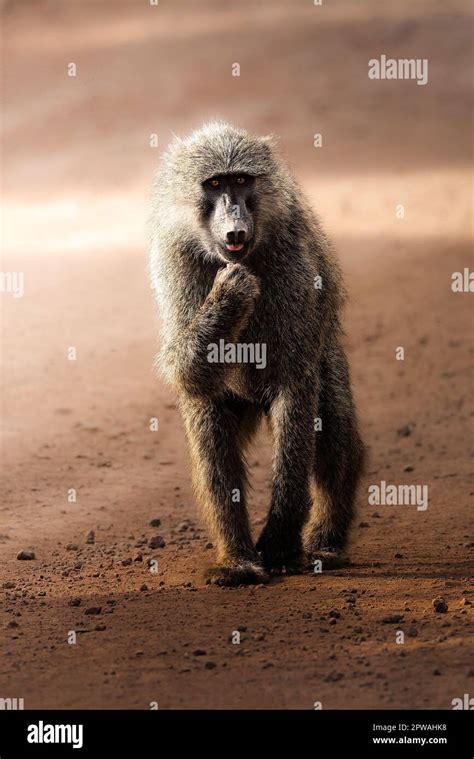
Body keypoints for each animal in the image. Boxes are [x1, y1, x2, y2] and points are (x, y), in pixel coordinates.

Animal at [149, 122, 365, 585]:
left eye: (242, 181)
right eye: (214, 185)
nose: (235, 227)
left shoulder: (293, 265)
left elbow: (295, 387)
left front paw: (281, 543)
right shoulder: (174, 259)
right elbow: (183, 370)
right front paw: (230, 295)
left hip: (327, 352)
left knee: (334, 430)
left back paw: (325, 543)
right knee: (207, 412)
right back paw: (237, 561)